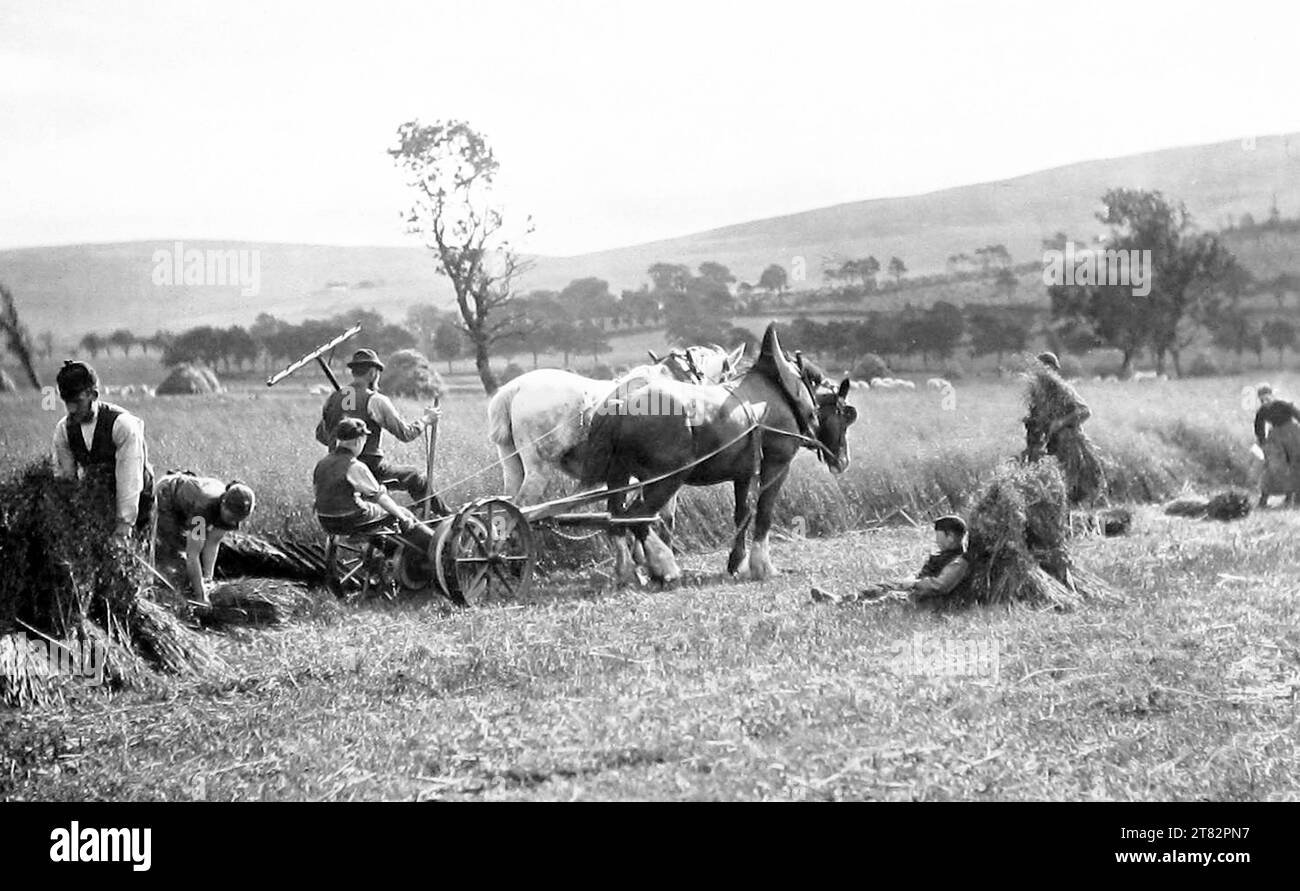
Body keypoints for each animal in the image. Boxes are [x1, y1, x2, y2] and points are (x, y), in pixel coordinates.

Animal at [585, 322, 857, 580]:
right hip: (666, 478)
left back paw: (627, 571)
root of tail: (622, 405)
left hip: (620, 475)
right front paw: (762, 565)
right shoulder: (777, 465)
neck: (784, 392)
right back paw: (664, 566)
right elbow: (764, 512)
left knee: (616, 519)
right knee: (637, 517)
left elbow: (742, 513)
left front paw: (737, 561)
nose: (843, 461)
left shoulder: (744, 473)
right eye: (844, 414)